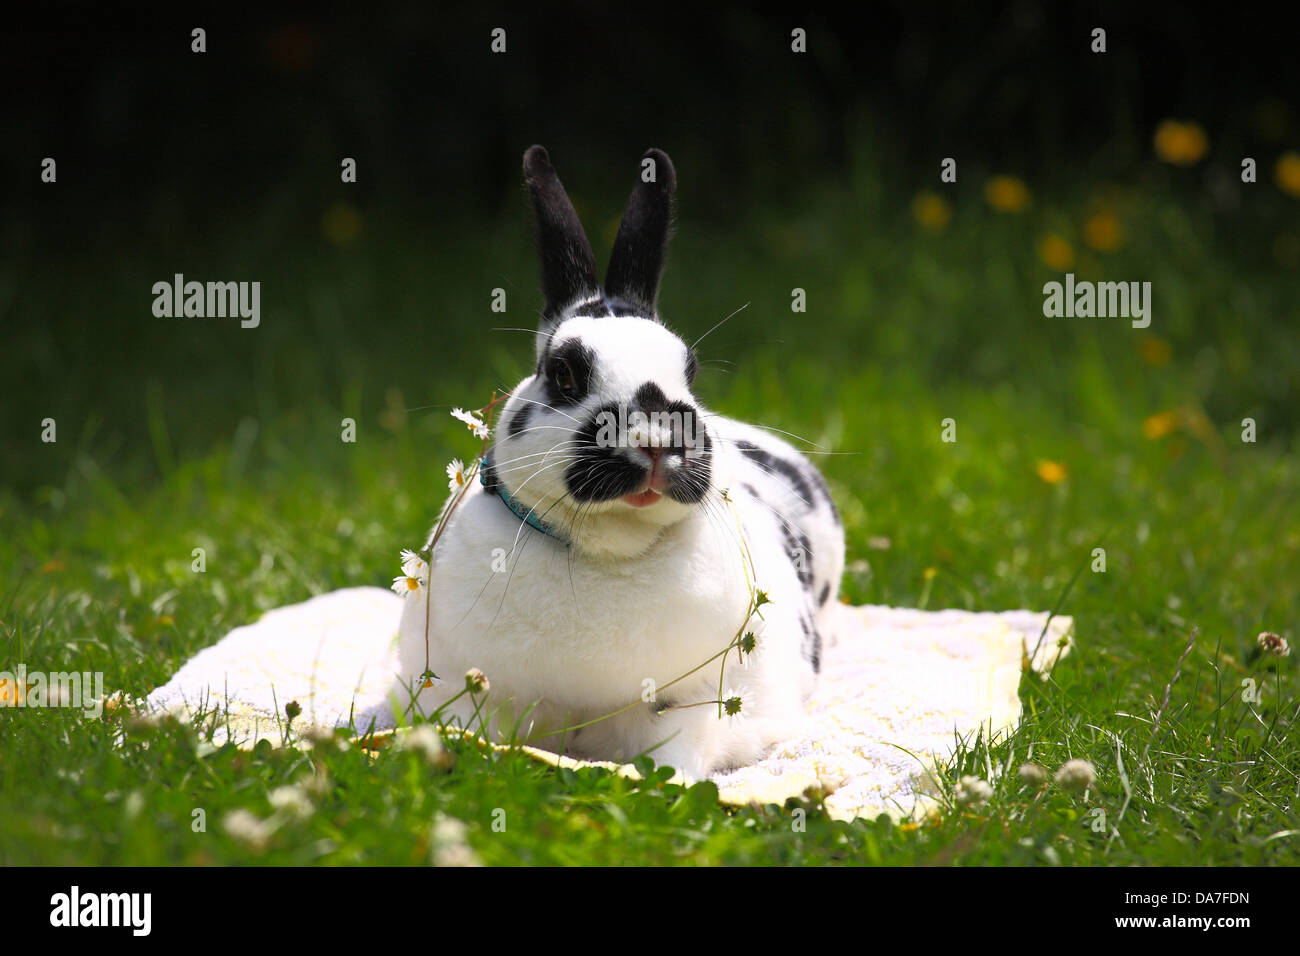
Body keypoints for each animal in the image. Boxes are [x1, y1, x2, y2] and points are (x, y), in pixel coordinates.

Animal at [396, 145, 845, 779]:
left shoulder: (696, 703)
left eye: (690, 371)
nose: (658, 440)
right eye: (564, 372)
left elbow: (676, 751)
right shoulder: (470, 691)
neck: (609, 548)